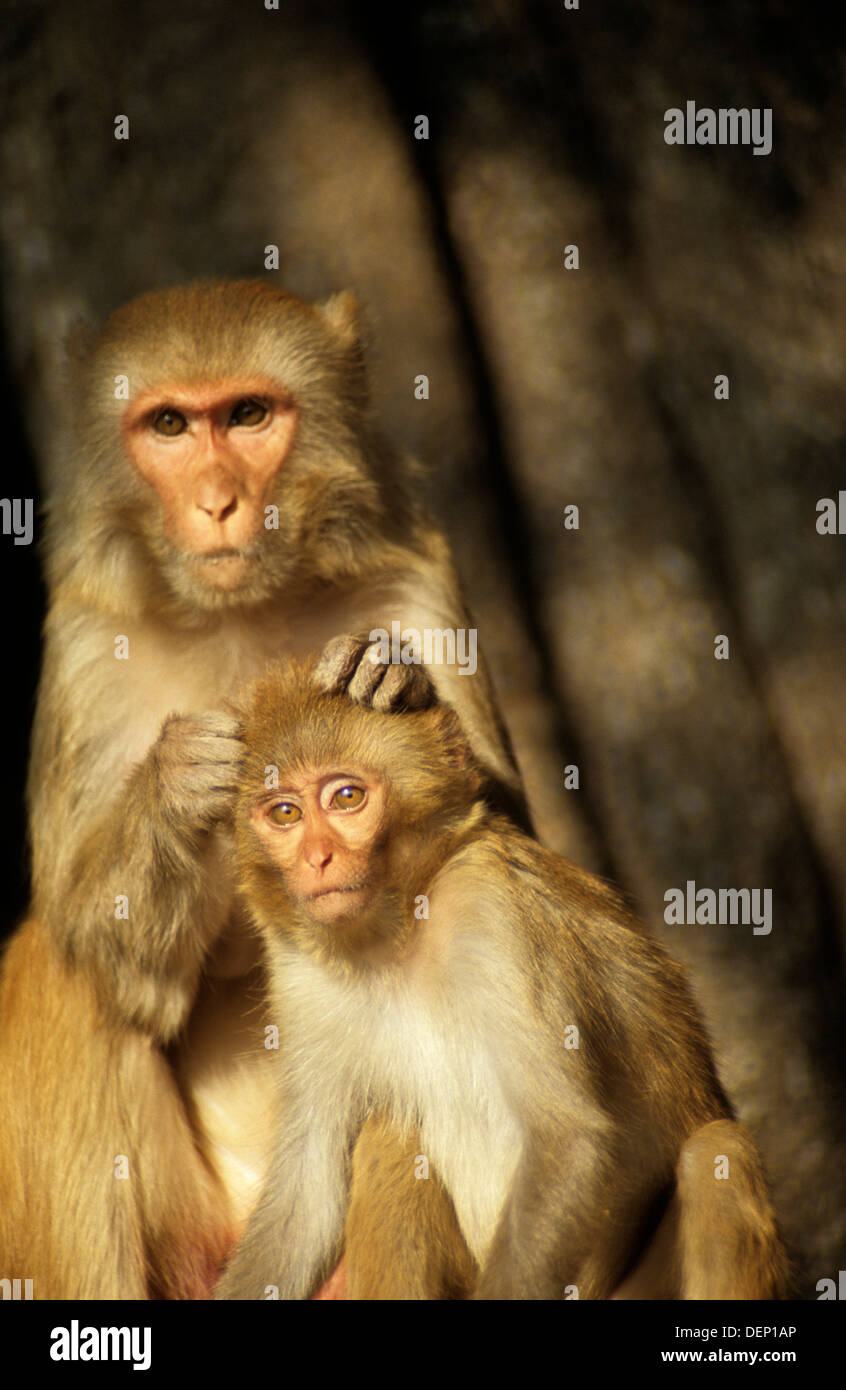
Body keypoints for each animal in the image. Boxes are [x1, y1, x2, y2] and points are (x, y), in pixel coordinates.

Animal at [0, 279, 523, 1298]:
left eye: (247, 415)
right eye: (169, 424)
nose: (217, 503)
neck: (240, 617)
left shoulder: (416, 581)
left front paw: (398, 681)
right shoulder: (83, 638)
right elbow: (104, 945)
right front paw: (176, 783)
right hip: (197, 1243)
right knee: (60, 966)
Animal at [215, 660, 789, 1301]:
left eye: (347, 798)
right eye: (285, 813)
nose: (316, 859)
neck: (396, 936)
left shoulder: (491, 907)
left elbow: (566, 1139)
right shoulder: (299, 967)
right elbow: (309, 1194)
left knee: (717, 1156)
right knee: (391, 1134)